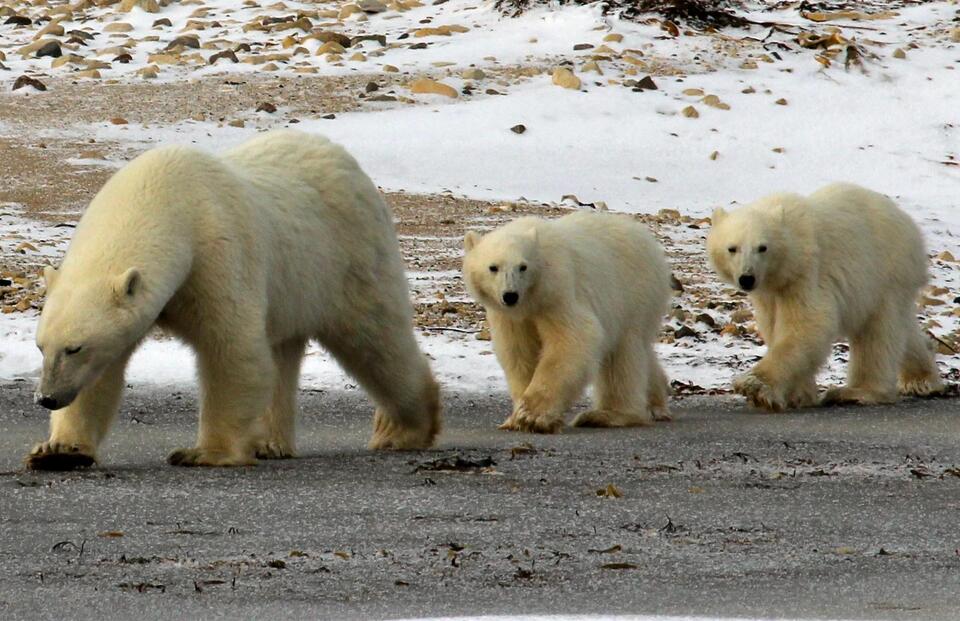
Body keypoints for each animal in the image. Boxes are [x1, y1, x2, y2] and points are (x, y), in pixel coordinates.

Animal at [29, 130, 440, 469]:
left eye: (75, 347)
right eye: (41, 346)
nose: (47, 398)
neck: (164, 198)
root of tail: (346, 160)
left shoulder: (216, 251)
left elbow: (231, 350)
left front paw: (203, 453)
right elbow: (101, 376)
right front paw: (58, 451)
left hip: (347, 258)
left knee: (376, 341)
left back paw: (403, 430)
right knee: (282, 352)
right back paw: (268, 443)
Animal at [462, 211, 673, 433]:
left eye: (523, 267)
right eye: (493, 267)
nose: (510, 295)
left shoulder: (557, 292)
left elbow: (573, 339)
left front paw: (532, 416)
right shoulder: (509, 315)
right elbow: (519, 351)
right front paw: (517, 416)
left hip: (632, 294)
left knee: (622, 354)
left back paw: (606, 415)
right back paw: (655, 404)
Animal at [707, 182, 944, 411]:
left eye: (762, 247)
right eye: (732, 248)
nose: (747, 278)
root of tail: (908, 222)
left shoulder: (806, 274)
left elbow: (807, 325)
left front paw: (755, 385)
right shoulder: (769, 292)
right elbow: (774, 326)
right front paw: (799, 395)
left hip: (885, 273)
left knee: (876, 332)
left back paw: (856, 392)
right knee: (902, 328)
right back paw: (921, 378)